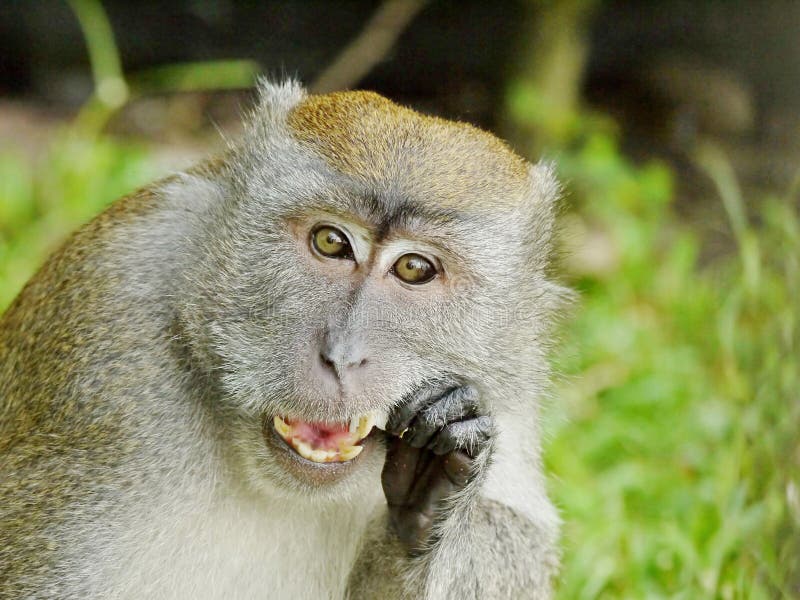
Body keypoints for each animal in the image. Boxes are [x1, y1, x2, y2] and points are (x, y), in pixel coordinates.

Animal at [0, 80, 567, 599]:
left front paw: (434, 490)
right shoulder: (105, 315)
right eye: (331, 241)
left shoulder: (510, 394)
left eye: (414, 268)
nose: (342, 357)